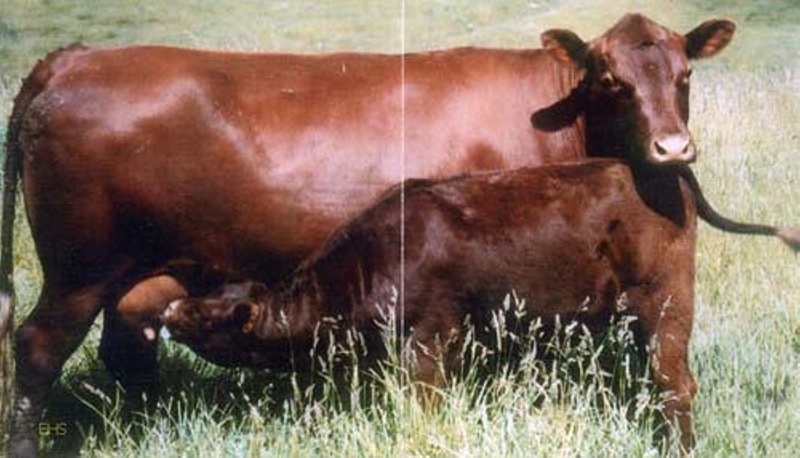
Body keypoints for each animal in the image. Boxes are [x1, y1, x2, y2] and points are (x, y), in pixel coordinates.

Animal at [161, 156, 705, 452]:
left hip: (666, 302)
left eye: (205, 315)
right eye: (203, 297)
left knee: (675, 385)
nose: (166, 313)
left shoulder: (429, 339)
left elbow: (423, 404)